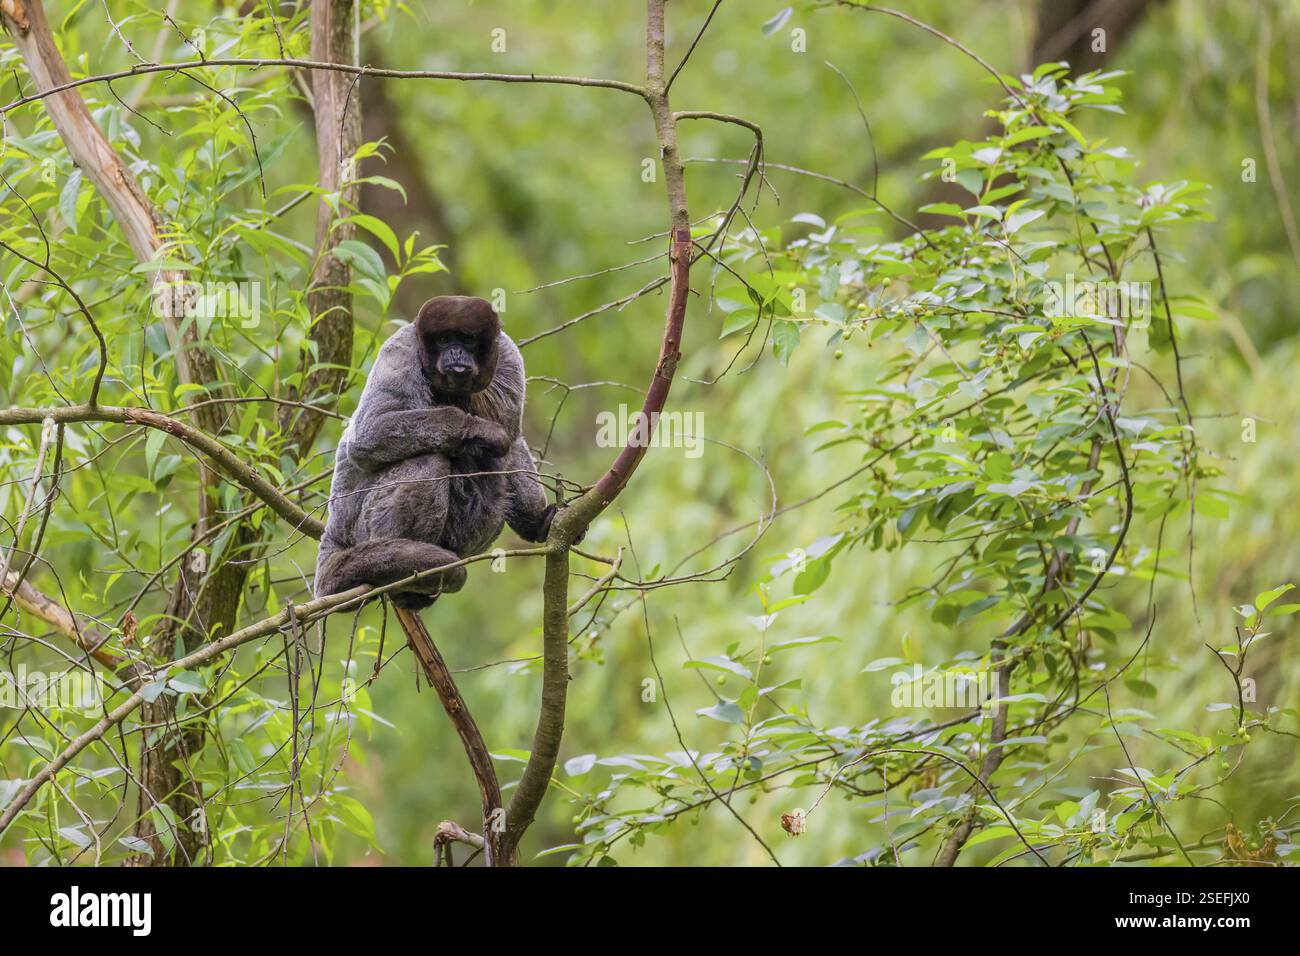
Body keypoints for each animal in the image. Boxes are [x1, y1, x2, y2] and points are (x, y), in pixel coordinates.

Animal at [314, 296, 556, 610]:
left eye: (467, 339)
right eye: (443, 340)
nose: (455, 352)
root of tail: (334, 532)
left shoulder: (509, 357)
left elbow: (513, 442)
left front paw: (536, 522)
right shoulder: (401, 349)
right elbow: (367, 435)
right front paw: (474, 428)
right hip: (360, 527)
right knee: (429, 460)